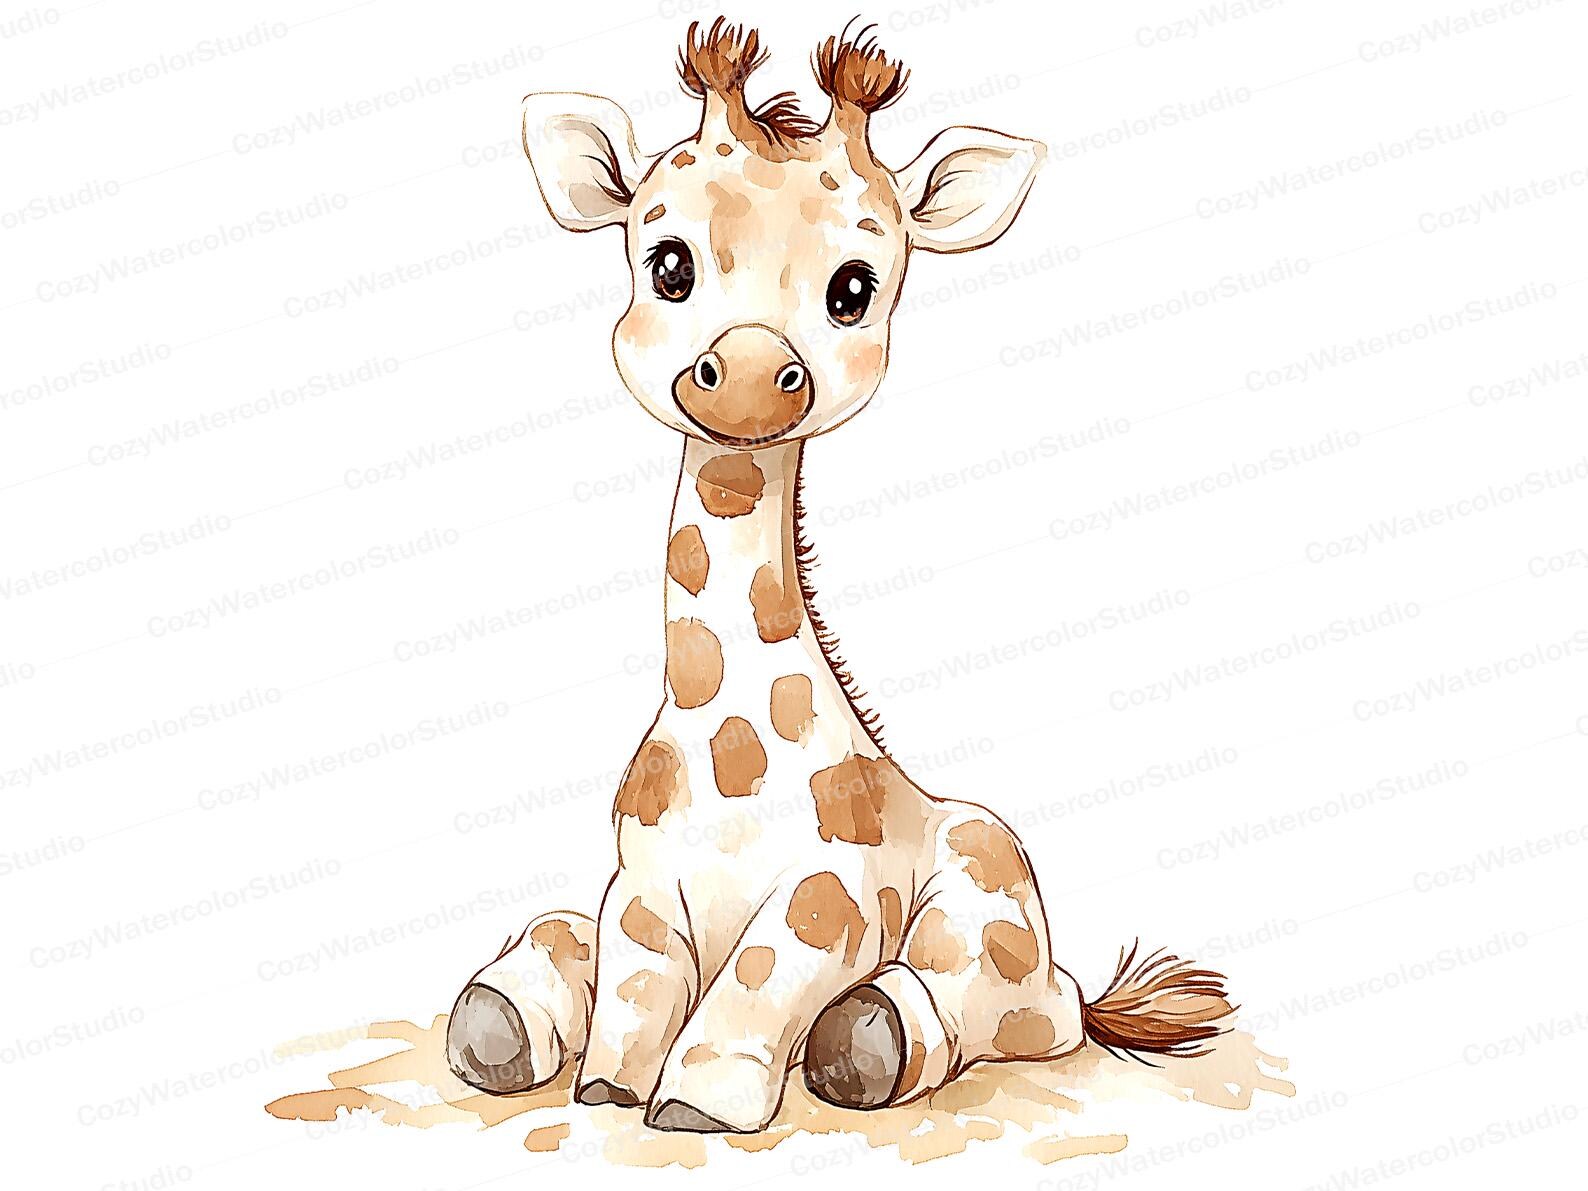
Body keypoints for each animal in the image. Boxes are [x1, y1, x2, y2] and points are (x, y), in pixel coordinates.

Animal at [444, 19, 1234, 1134]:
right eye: (668, 263)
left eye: (853, 289)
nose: (742, 377)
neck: (731, 773)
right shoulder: (640, 890)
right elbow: (631, 994)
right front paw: (609, 1085)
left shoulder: (834, 897)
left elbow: (759, 977)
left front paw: (703, 1100)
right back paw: (500, 1015)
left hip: (993, 908)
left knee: (1020, 1010)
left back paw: (873, 1034)